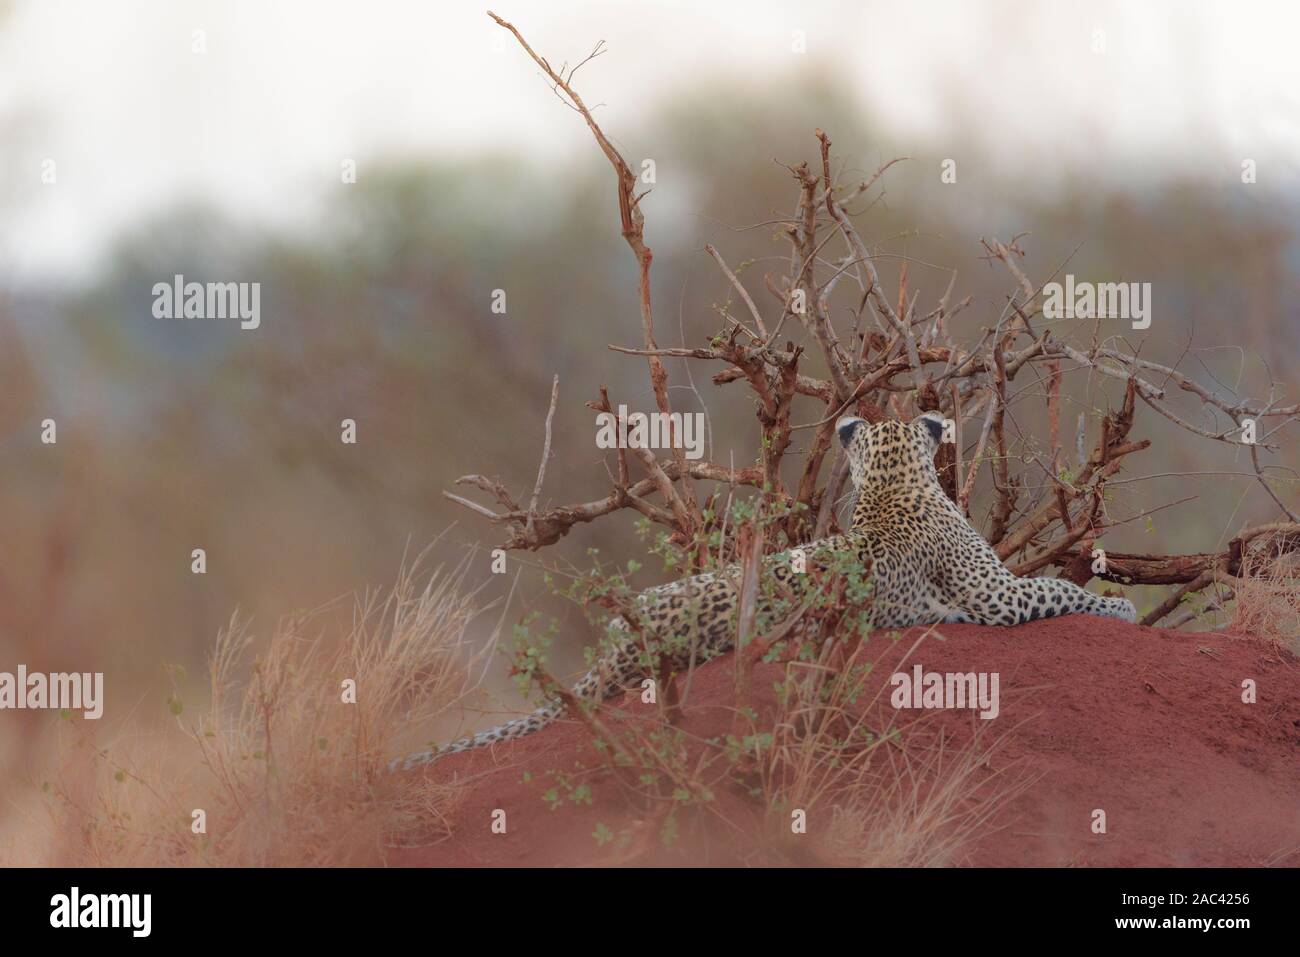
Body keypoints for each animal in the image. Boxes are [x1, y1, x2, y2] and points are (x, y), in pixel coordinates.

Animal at [390, 411, 1135, 772]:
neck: (891, 481)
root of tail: (621, 648)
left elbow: (1053, 585)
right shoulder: (994, 596)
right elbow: (1055, 588)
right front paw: (1119, 605)